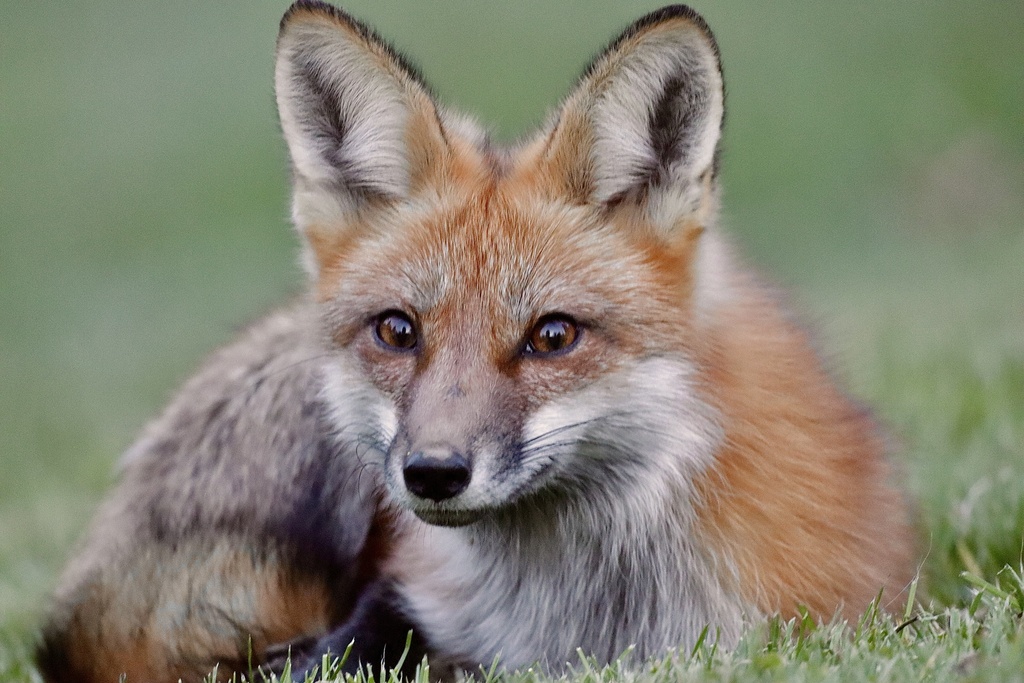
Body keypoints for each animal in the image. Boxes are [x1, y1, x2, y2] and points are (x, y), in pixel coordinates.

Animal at [36, 2, 916, 682]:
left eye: (552, 335)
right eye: (397, 330)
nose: (431, 473)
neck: (576, 621)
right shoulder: (397, 597)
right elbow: (341, 653)